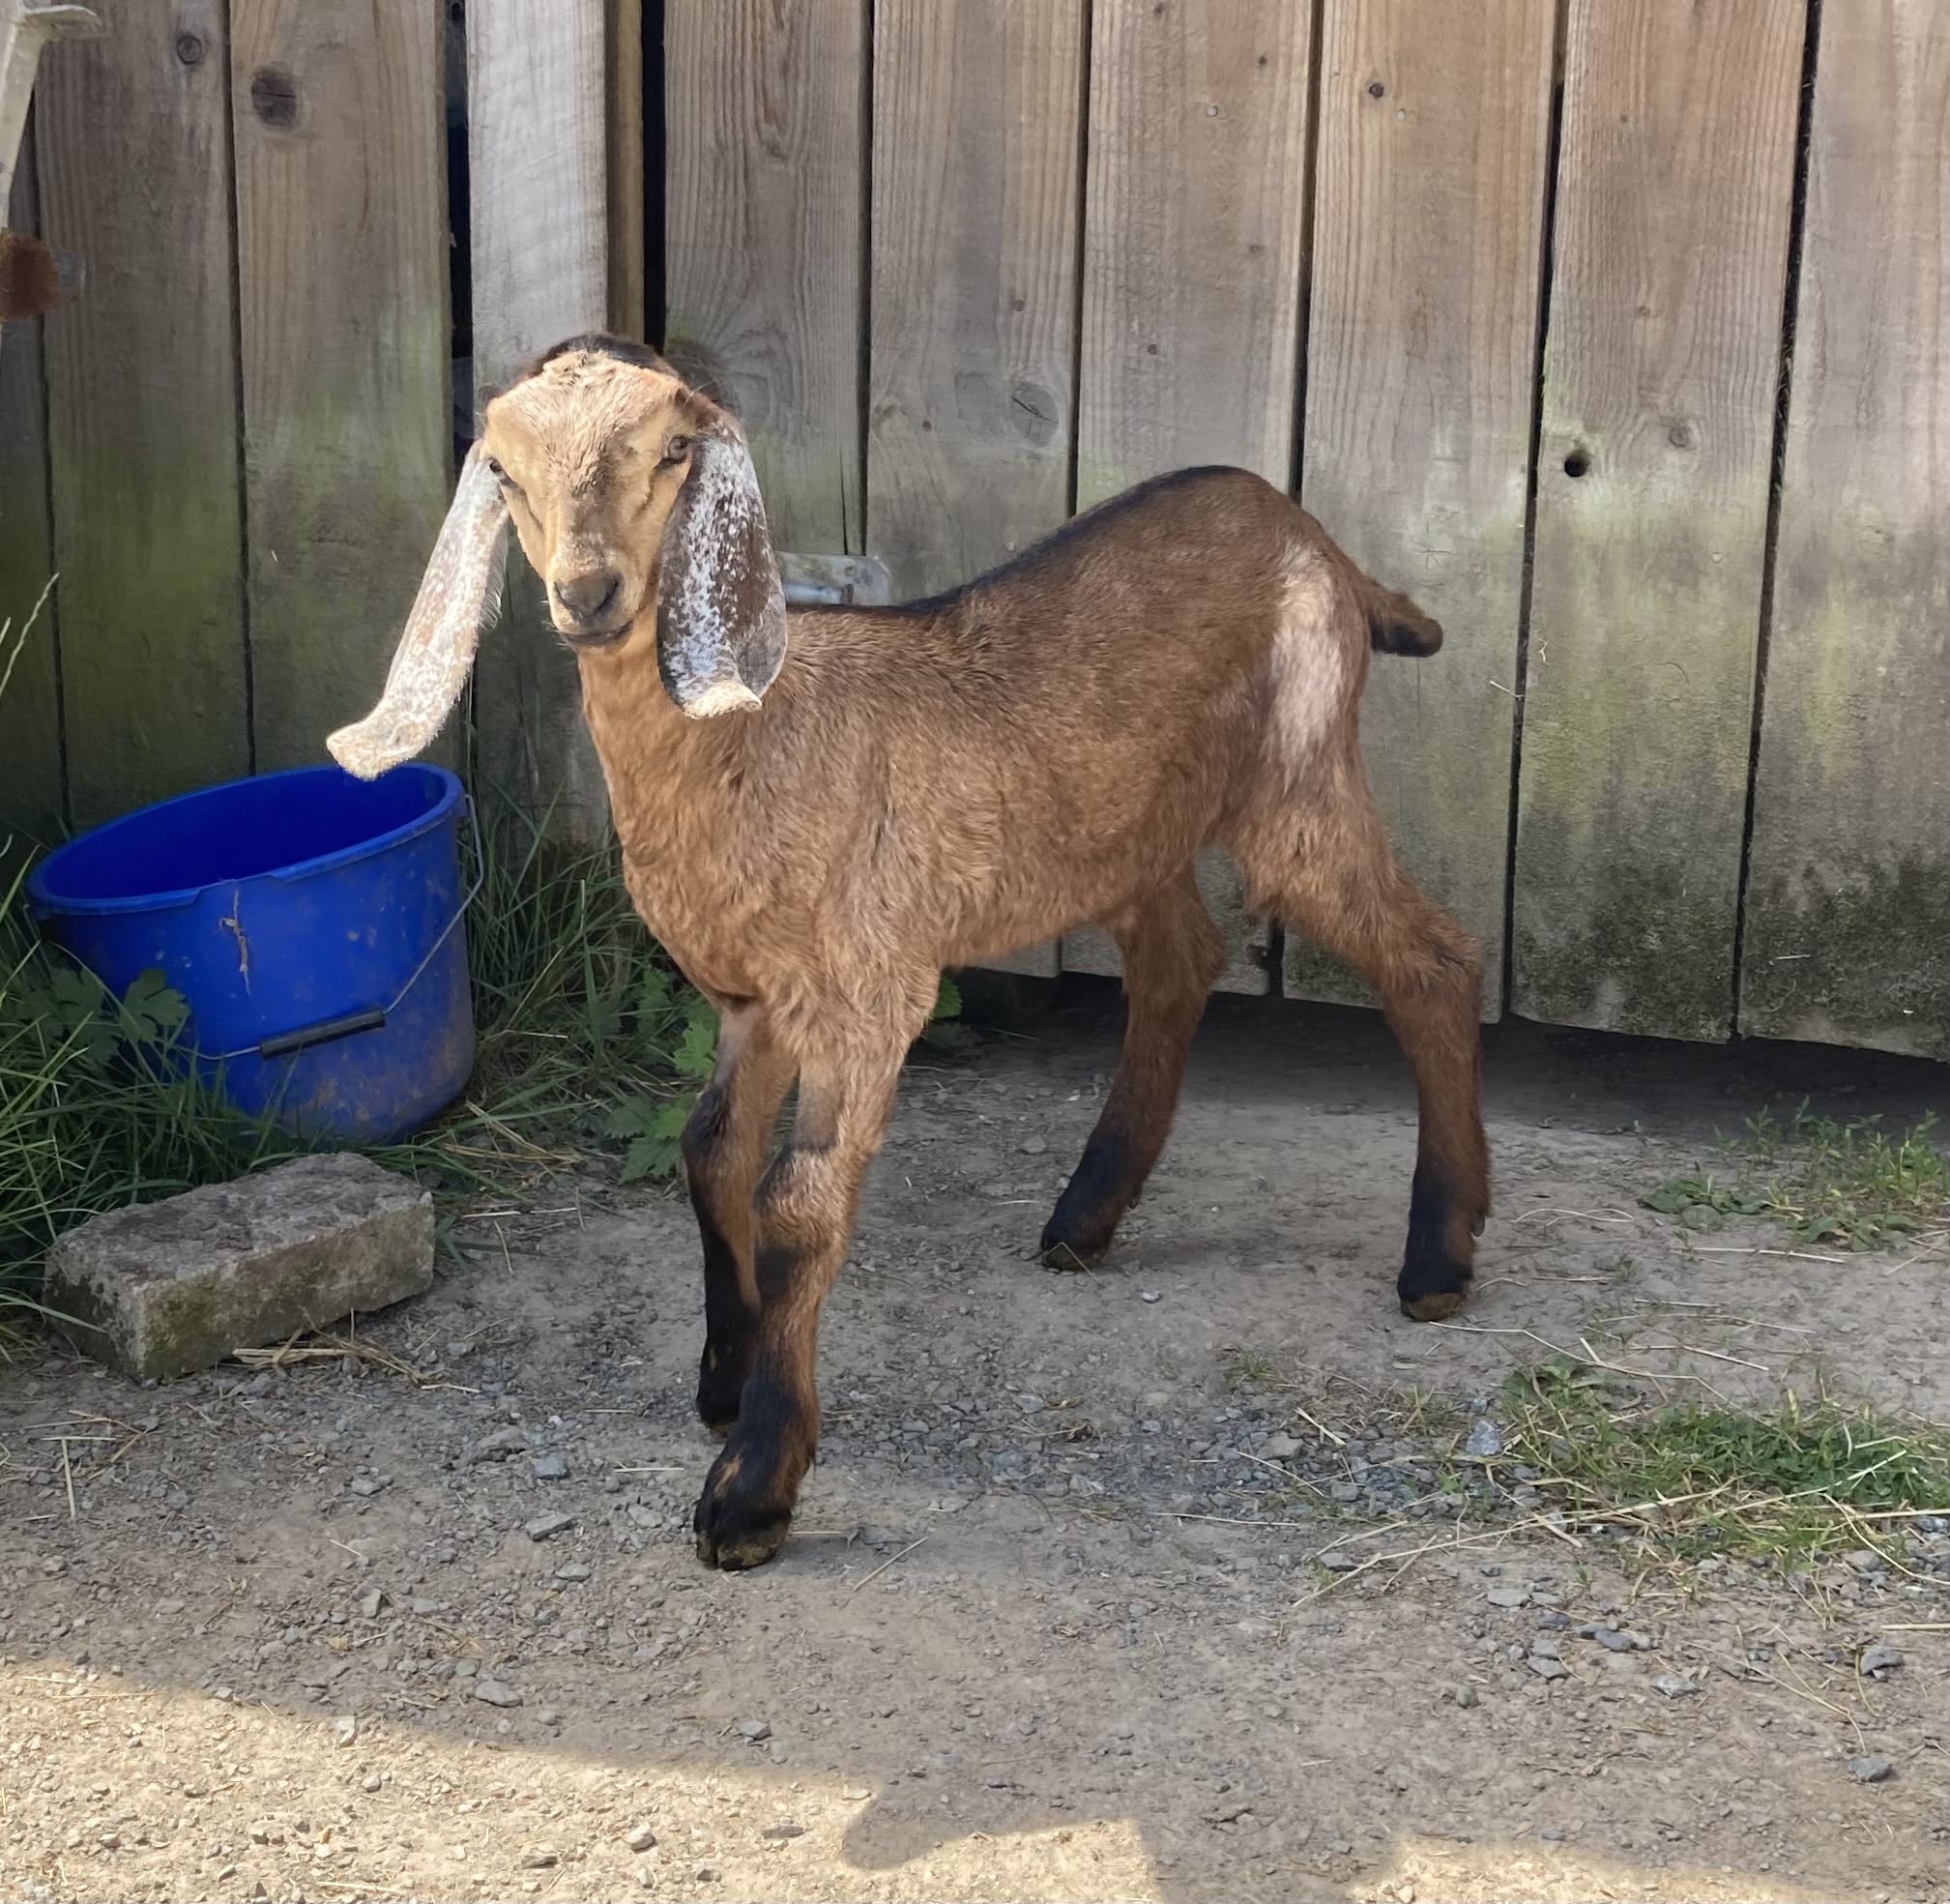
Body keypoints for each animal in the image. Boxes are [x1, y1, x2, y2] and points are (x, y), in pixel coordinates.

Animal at [330, 334, 1489, 1571]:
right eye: (501, 467)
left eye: (675, 449)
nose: (587, 594)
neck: (753, 742)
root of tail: (1312, 537)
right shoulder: (755, 999)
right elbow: (709, 1154)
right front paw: (724, 1377)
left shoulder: (867, 988)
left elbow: (794, 1204)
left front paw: (752, 1487)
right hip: (1123, 828)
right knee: (1181, 958)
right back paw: (1086, 1215)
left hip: (1296, 782)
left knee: (1433, 960)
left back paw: (1438, 1257)